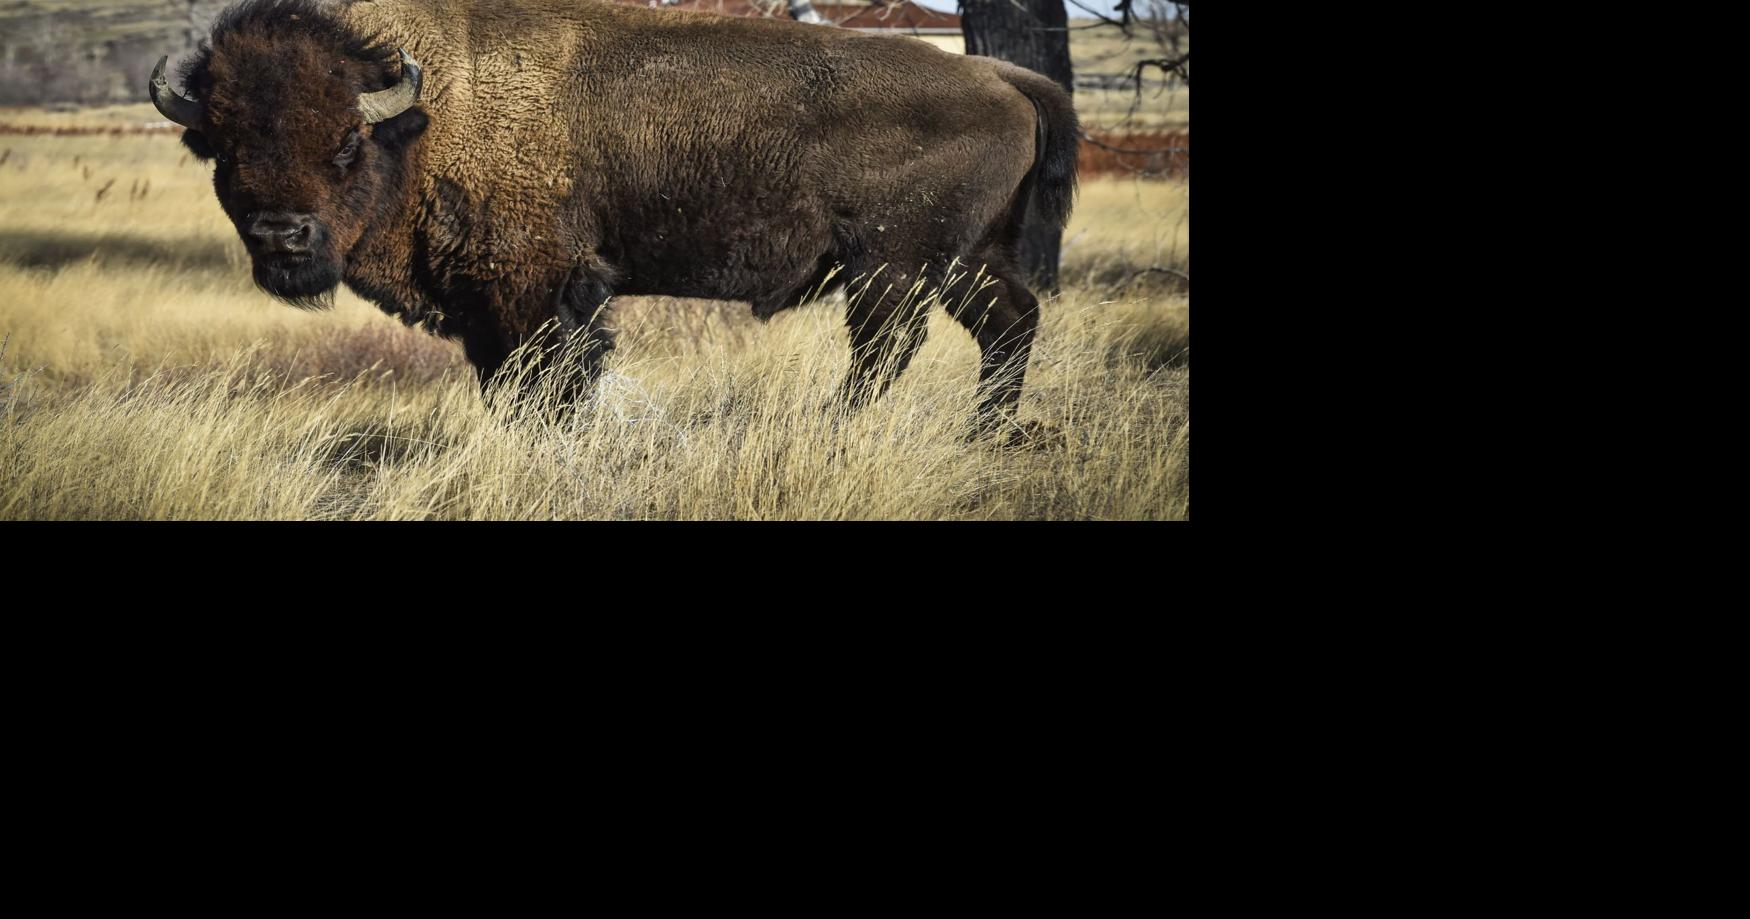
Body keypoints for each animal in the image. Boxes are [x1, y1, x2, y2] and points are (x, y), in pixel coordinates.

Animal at [150, 0, 1078, 427]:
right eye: (223, 148)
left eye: (346, 141)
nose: (281, 234)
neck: (421, 113)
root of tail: (1001, 76)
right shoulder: (490, 305)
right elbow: (512, 380)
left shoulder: (531, 290)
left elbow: (545, 378)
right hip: (964, 261)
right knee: (1009, 322)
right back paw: (988, 431)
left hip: (893, 266)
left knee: (886, 350)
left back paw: (841, 424)